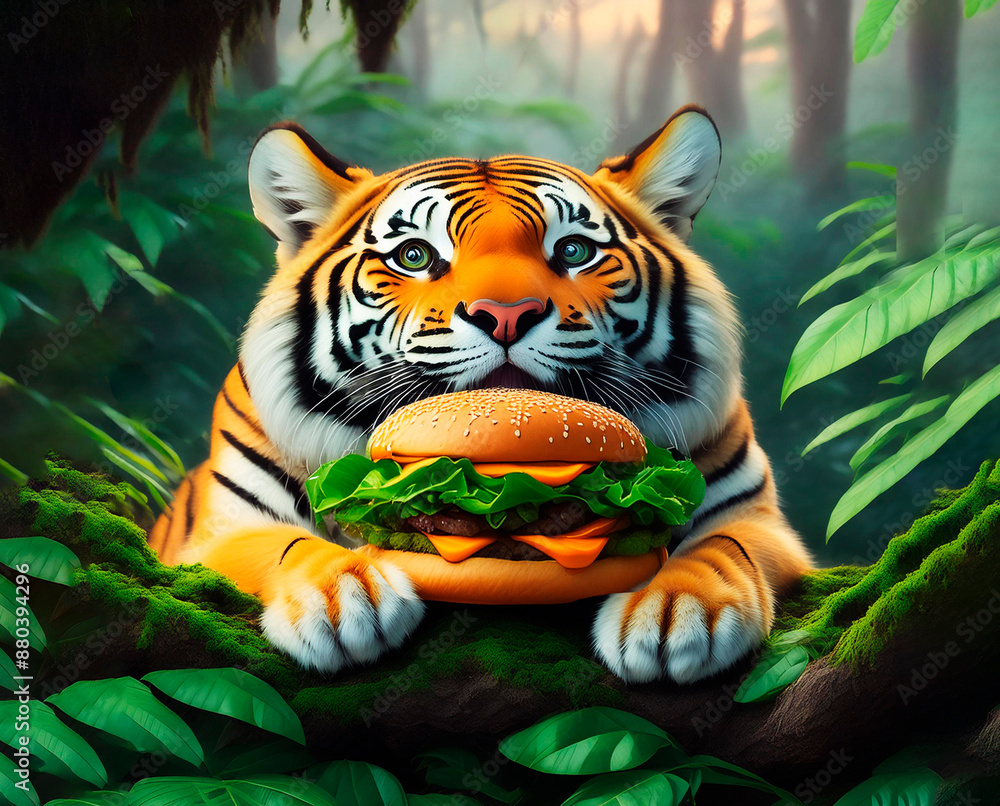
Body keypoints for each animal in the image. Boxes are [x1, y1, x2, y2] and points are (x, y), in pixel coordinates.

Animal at [148, 105, 813, 684]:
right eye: (414, 255)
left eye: (574, 251)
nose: (507, 314)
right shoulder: (221, 533)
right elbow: (284, 544)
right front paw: (343, 601)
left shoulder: (758, 520)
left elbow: (723, 545)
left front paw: (679, 615)